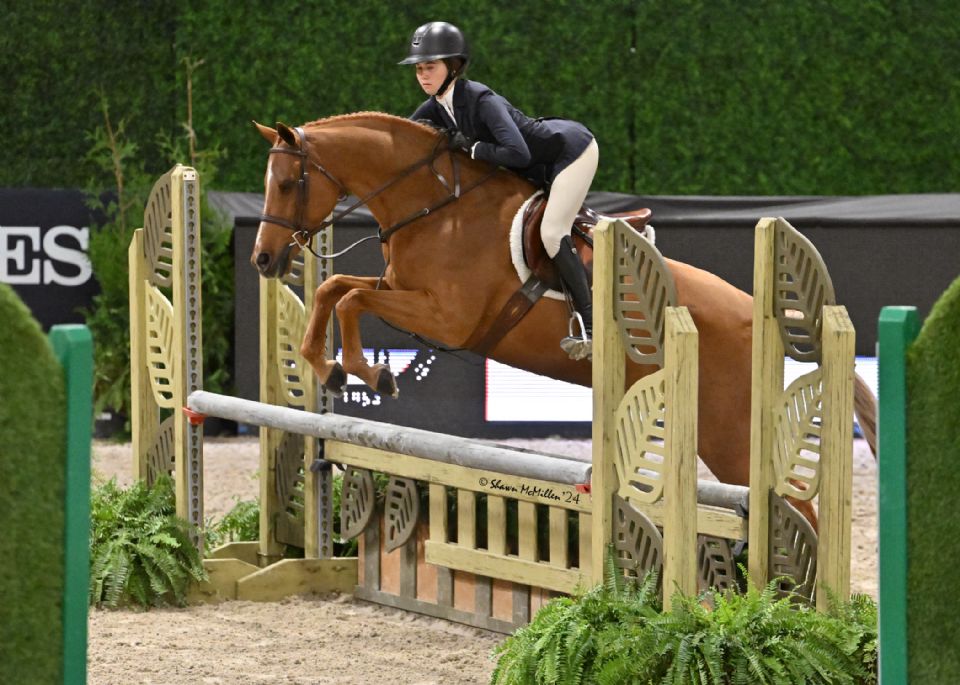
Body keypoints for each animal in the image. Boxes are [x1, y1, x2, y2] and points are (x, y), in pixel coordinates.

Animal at [250, 112, 878, 525]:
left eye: (287, 183)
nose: (264, 259)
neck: (436, 205)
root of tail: (758, 314)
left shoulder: (447, 318)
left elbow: (349, 300)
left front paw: (370, 373)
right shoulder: (403, 289)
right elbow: (333, 289)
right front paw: (328, 367)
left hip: (727, 433)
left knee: (792, 505)